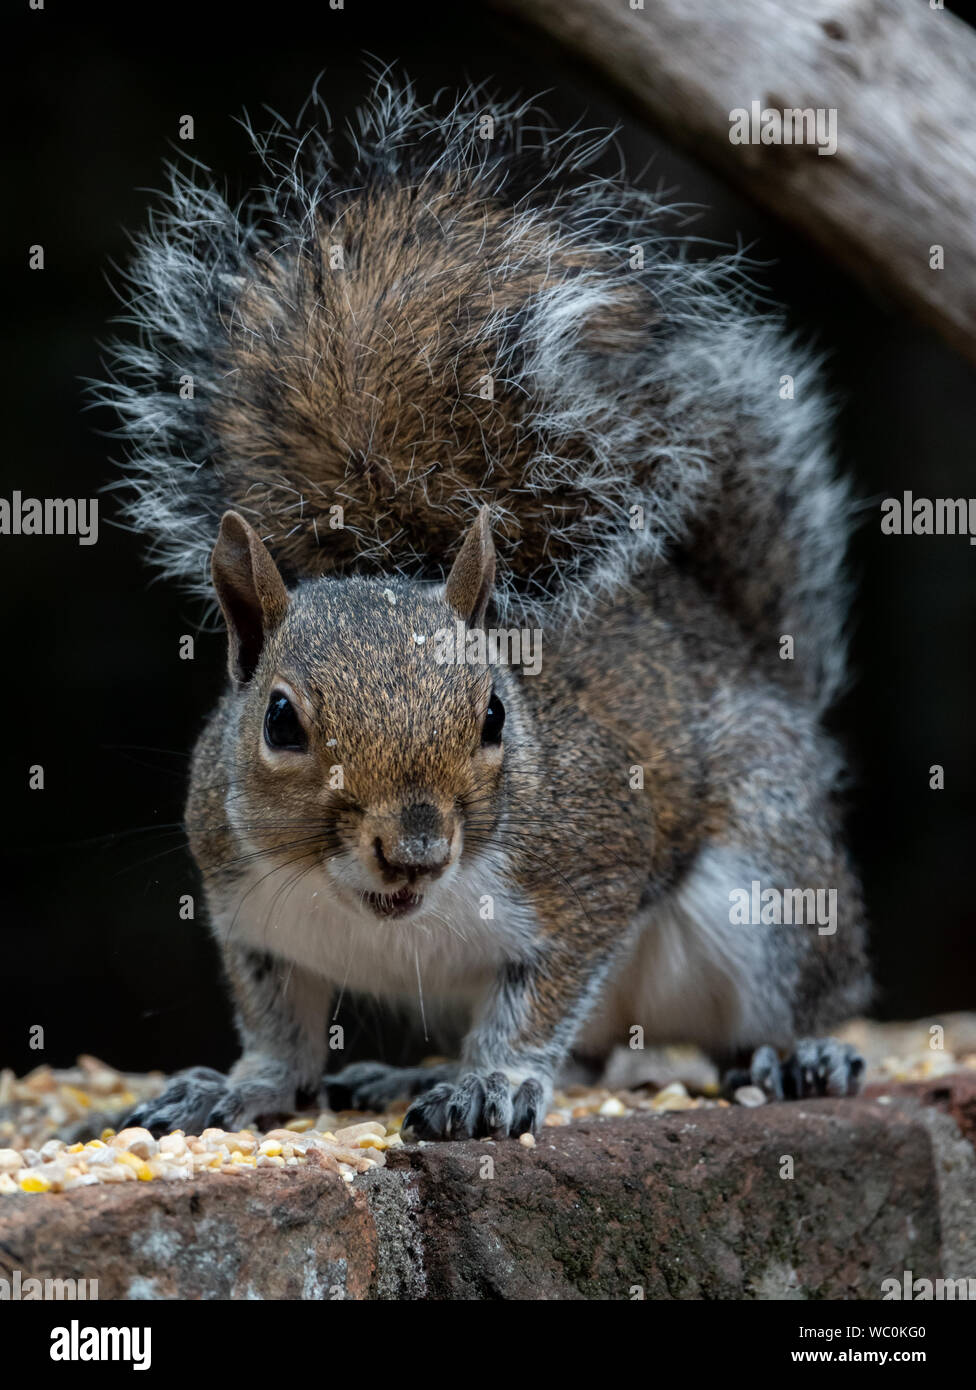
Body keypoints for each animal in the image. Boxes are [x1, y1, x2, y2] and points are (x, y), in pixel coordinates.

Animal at [102, 77, 872, 1140]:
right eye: (280, 722)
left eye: (495, 715)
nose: (415, 850)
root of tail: (752, 661)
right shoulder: (244, 909)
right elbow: (280, 1025)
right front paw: (241, 1085)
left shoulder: (591, 865)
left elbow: (538, 1001)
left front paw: (495, 1080)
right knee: (592, 1057)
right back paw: (402, 1073)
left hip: (770, 885)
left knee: (785, 997)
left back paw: (803, 1053)